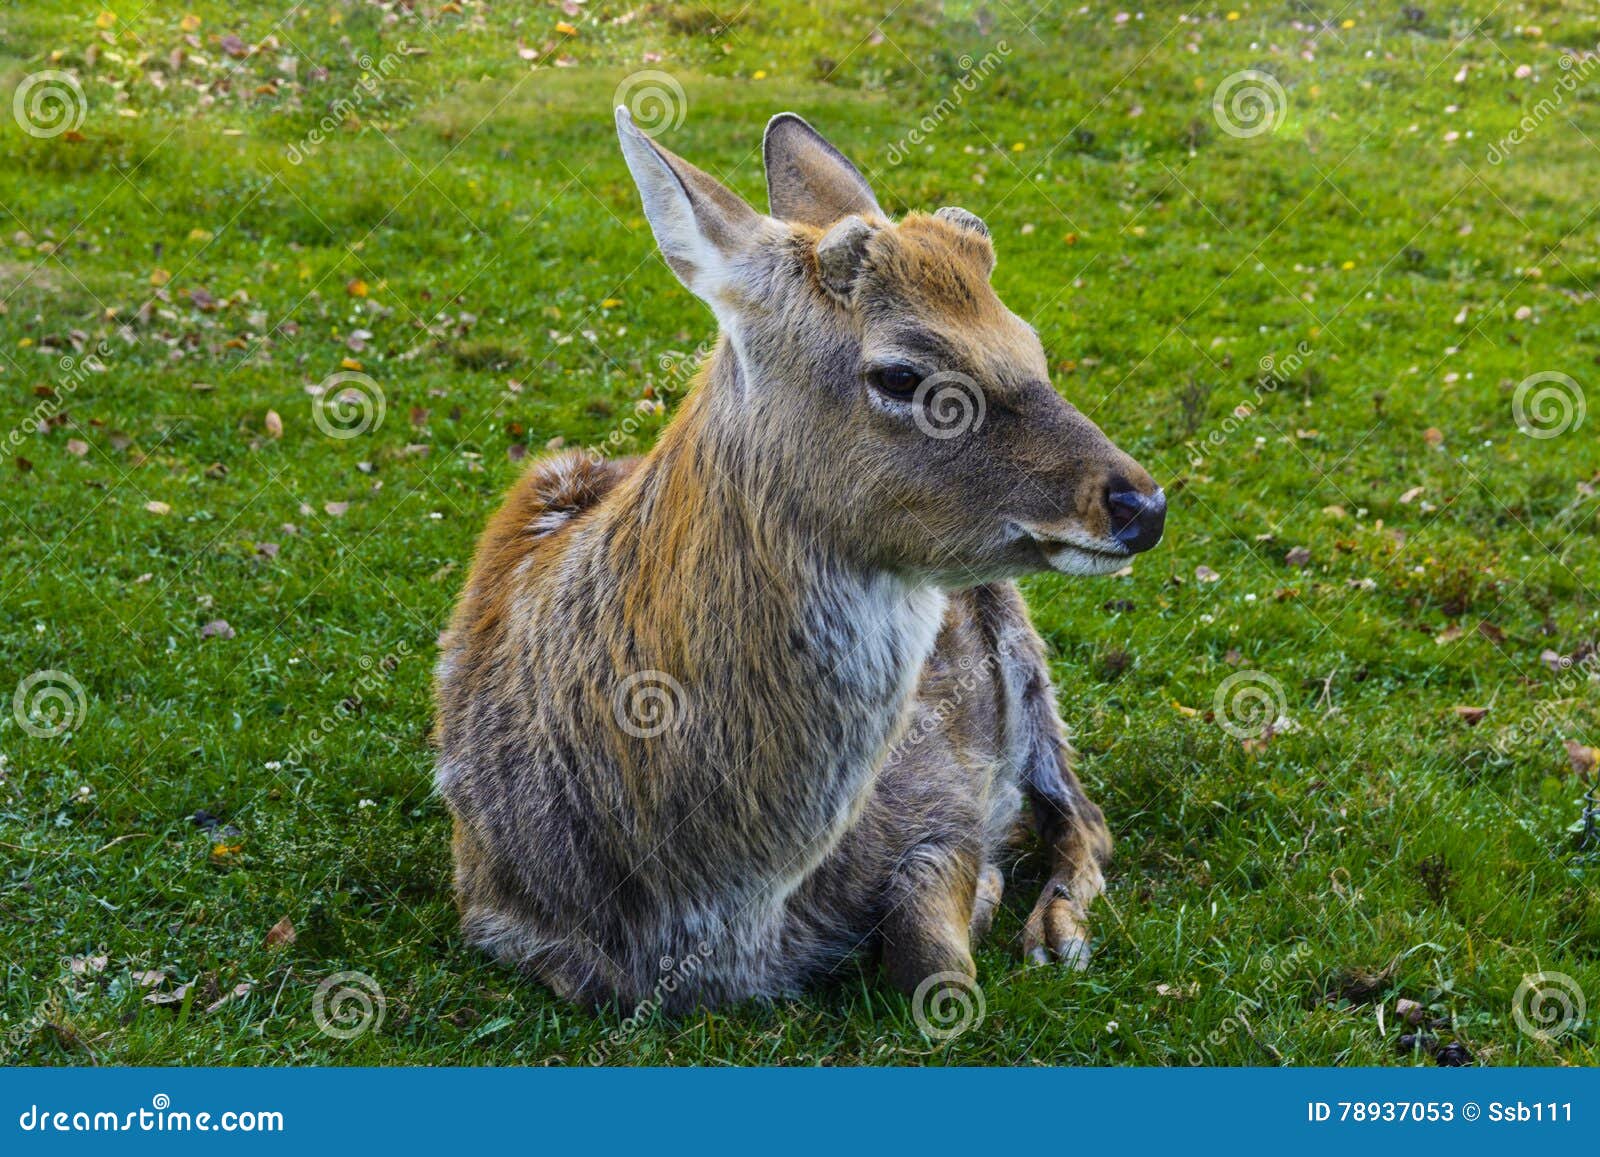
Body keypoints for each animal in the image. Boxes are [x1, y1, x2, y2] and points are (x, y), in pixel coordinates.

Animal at [432, 108, 1167, 1012]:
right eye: (904, 373)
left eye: (1030, 342)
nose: (1142, 505)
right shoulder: (495, 910)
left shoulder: (944, 790)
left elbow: (935, 962)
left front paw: (988, 899)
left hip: (1022, 648)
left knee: (1083, 813)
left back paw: (1057, 929)